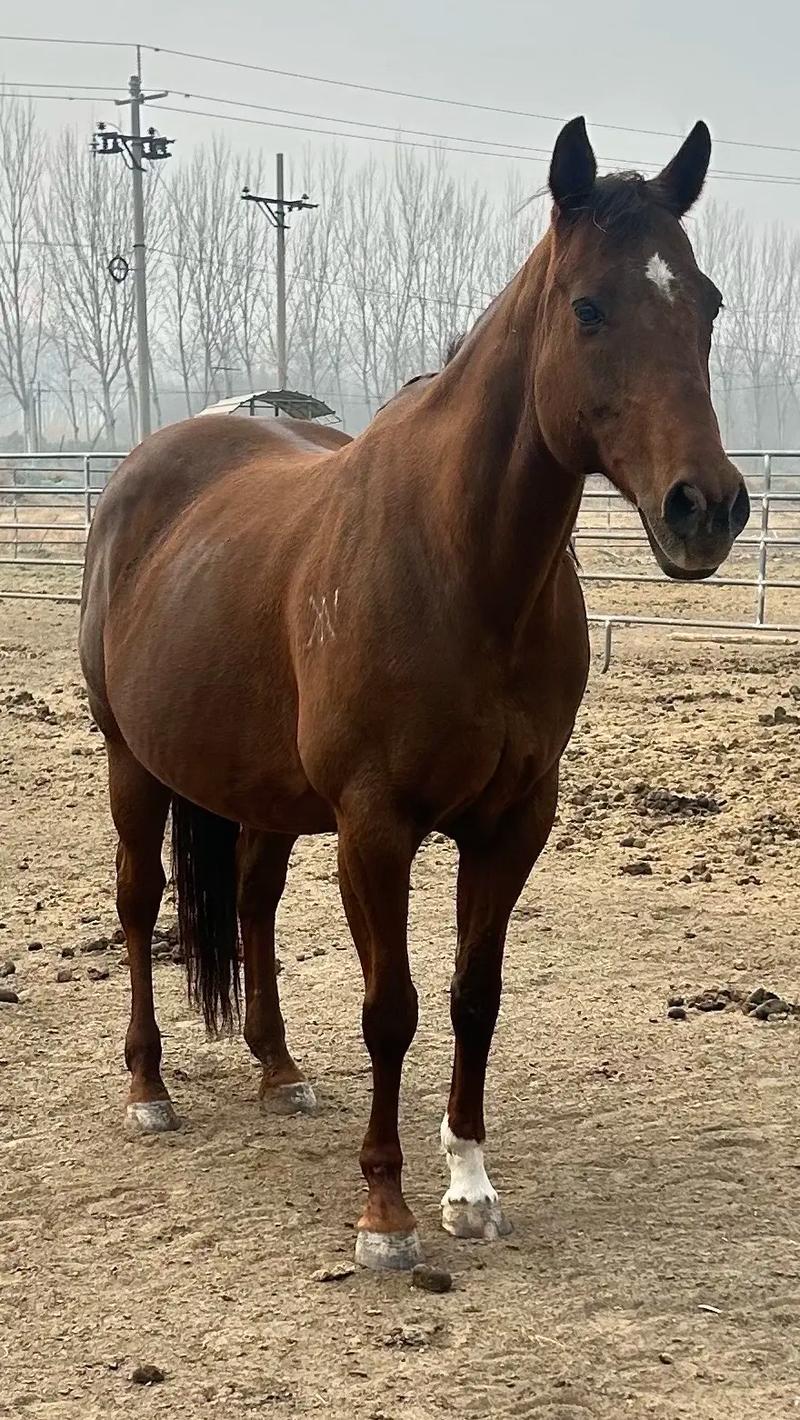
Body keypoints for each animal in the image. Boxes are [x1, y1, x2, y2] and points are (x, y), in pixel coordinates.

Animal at [79, 116, 750, 1271]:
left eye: (703, 302)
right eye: (588, 307)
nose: (703, 508)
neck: (461, 565)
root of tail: (146, 469)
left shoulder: (514, 821)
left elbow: (474, 996)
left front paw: (470, 1186)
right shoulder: (375, 823)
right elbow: (389, 1007)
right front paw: (384, 1214)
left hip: (261, 793)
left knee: (251, 902)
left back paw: (278, 1071)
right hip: (134, 765)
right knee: (136, 904)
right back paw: (148, 1086)